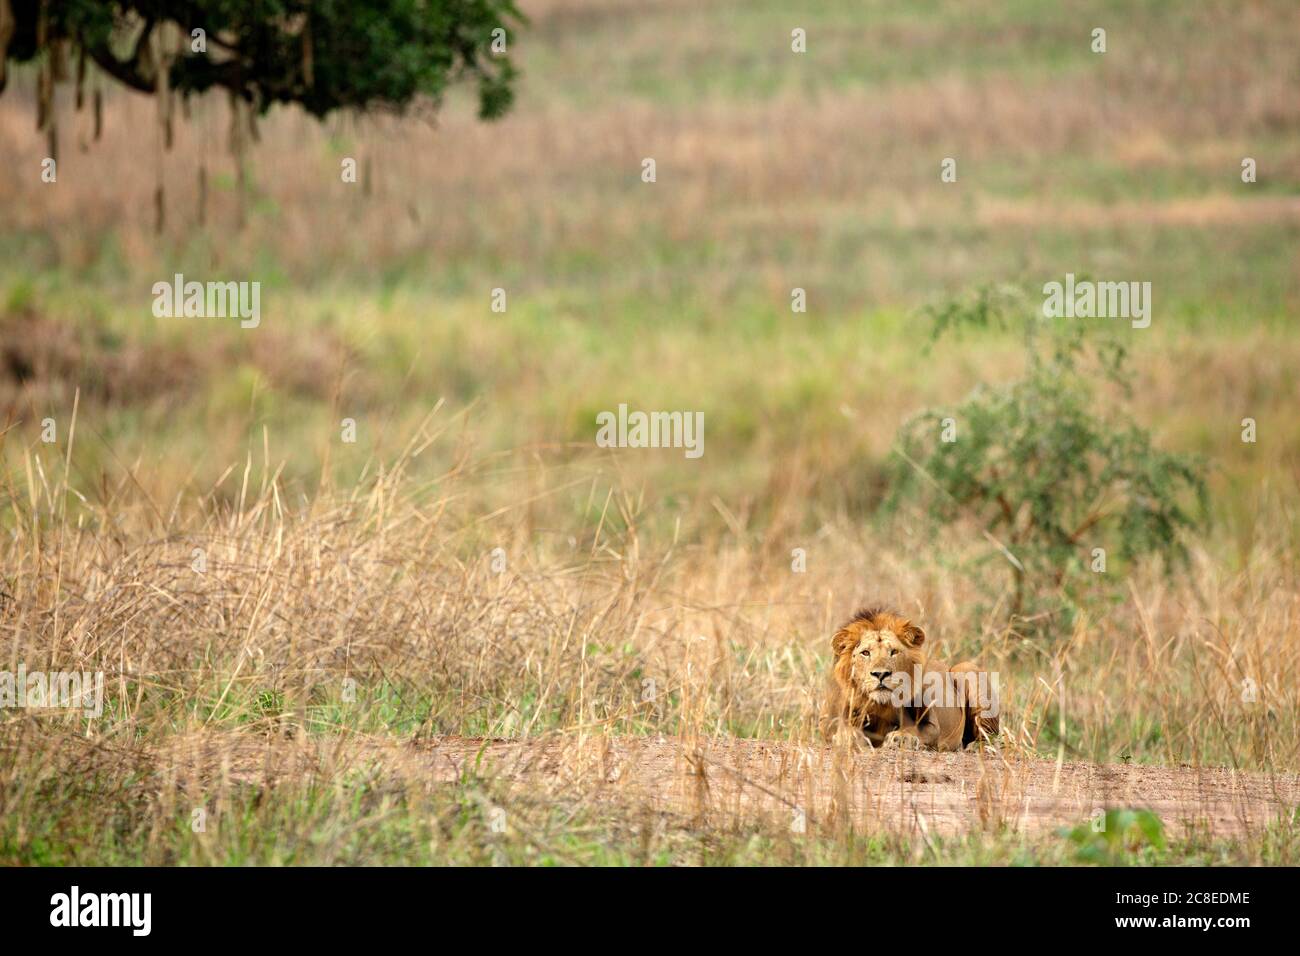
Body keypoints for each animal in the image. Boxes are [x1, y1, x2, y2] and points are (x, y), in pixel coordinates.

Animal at [819, 606, 998, 752]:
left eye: (894, 652)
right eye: (865, 653)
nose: (881, 674)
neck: (880, 705)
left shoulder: (932, 725)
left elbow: (916, 730)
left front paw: (902, 737)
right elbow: (842, 729)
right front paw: (848, 736)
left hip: (967, 669)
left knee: (990, 735)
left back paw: (976, 747)